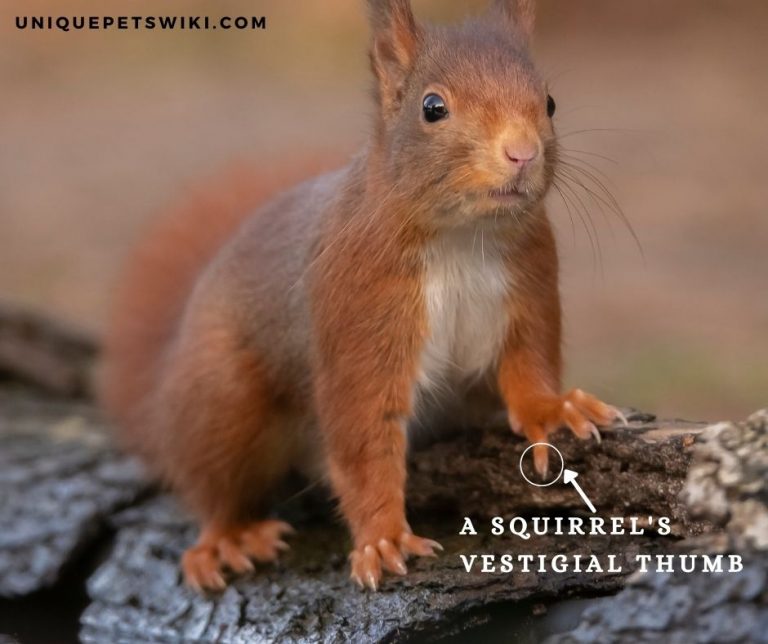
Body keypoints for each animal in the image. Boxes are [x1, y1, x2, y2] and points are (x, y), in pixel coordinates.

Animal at [102, 0, 625, 592]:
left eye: (550, 102)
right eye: (432, 108)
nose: (522, 153)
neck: (462, 237)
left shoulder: (529, 288)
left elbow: (529, 362)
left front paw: (554, 408)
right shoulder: (359, 312)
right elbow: (363, 435)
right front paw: (383, 538)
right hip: (220, 397)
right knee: (210, 482)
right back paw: (227, 538)